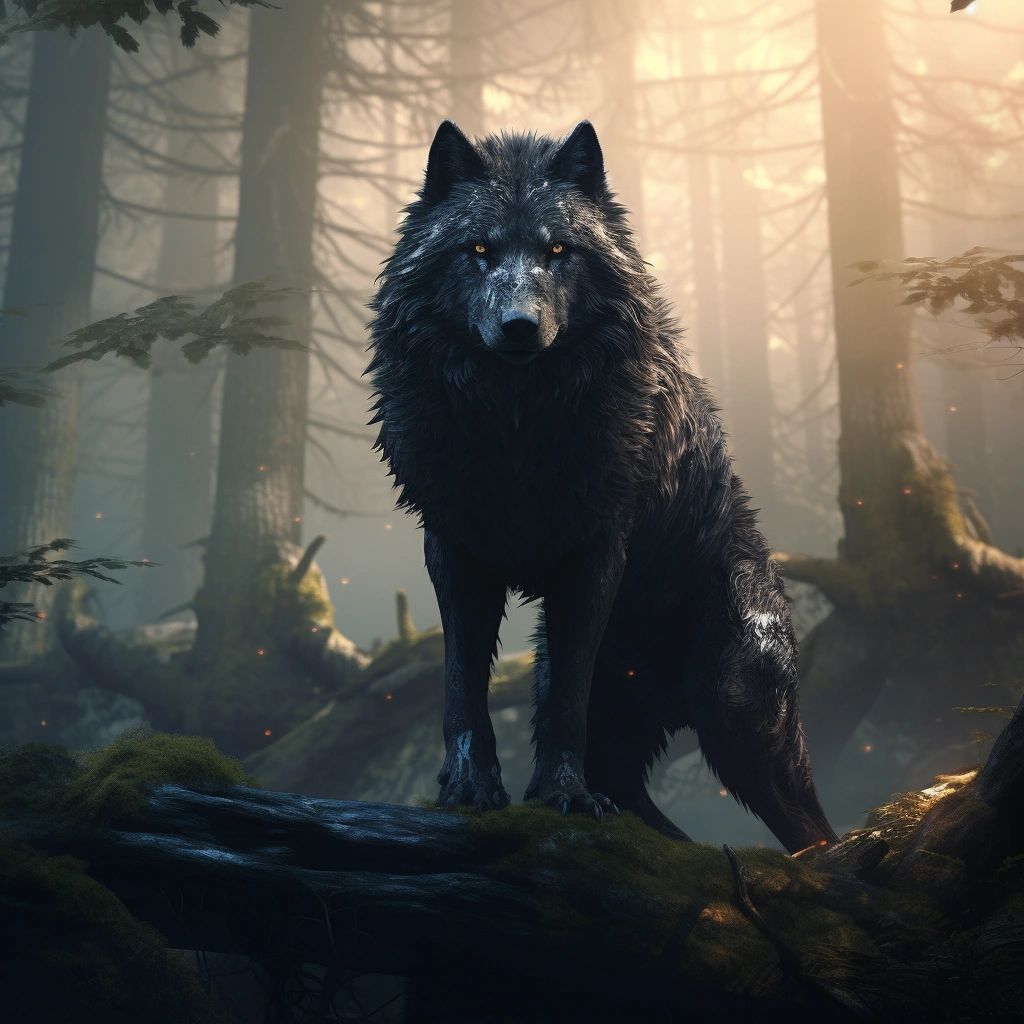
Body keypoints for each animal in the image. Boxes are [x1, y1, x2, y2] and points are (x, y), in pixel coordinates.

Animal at [367, 120, 837, 853]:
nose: (520, 326)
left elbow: (568, 708)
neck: (515, 433)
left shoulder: (594, 555)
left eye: (558, 250)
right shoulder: (453, 550)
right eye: (479, 250)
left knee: (816, 831)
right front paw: (470, 790)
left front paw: (561, 795)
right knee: (642, 806)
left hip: (739, 709)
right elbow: (462, 688)